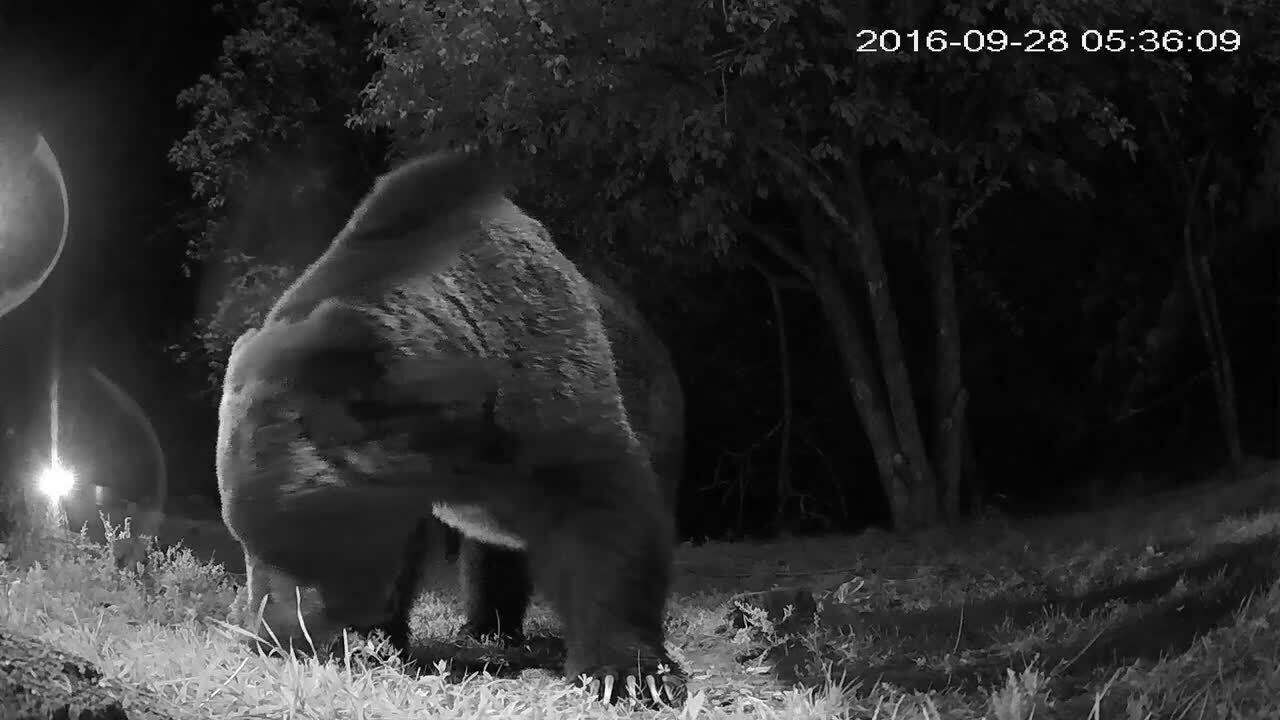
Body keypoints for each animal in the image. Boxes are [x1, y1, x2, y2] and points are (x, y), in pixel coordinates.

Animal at [216, 149, 684, 705]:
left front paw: (627, 673)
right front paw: (372, 638)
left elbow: (605, 515)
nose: (269, 637)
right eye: (241, 536)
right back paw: (488, 627)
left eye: (298, 528)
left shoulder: (547, 395)